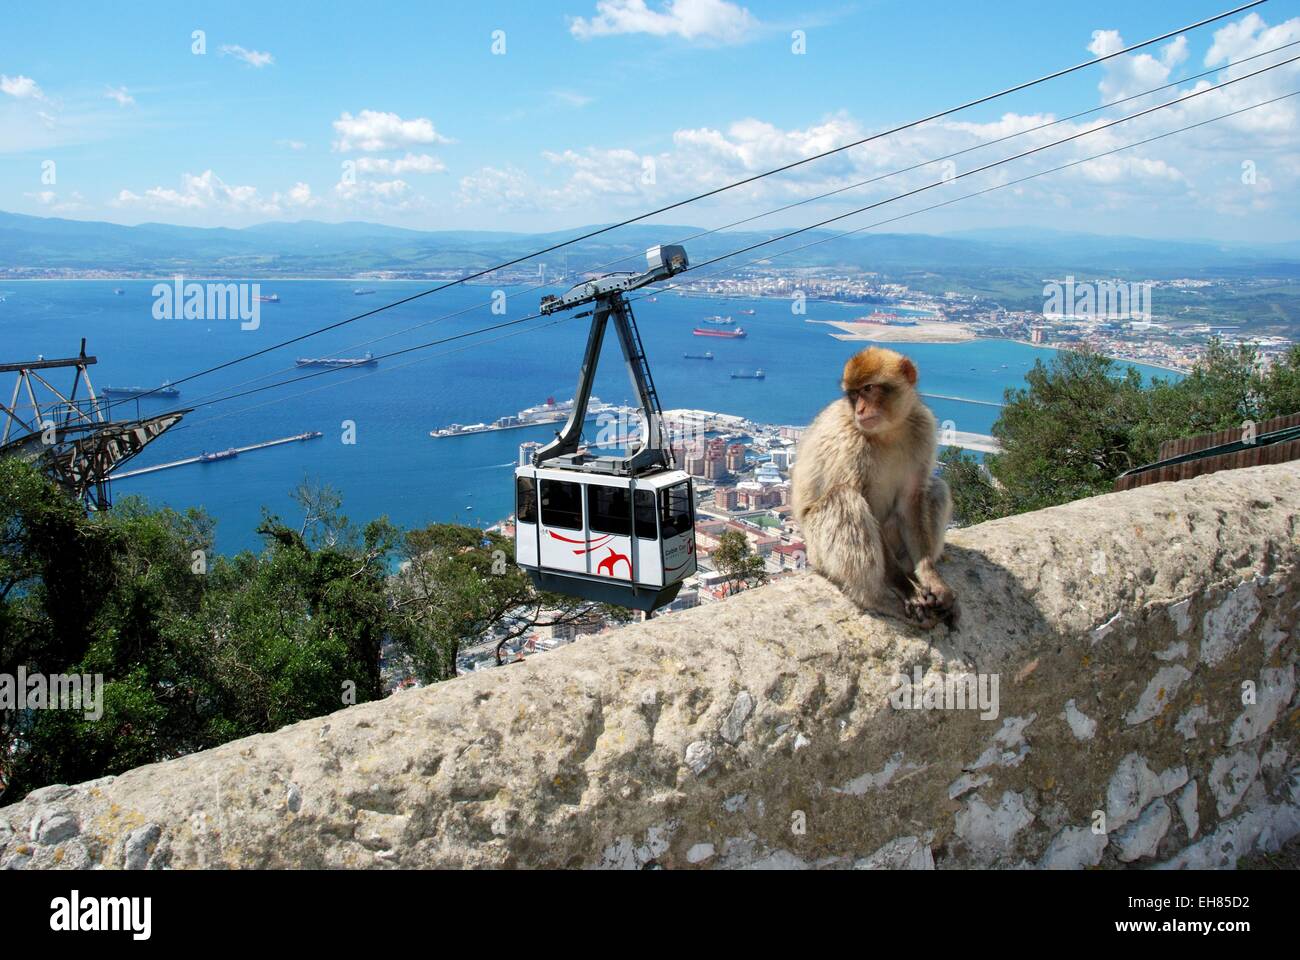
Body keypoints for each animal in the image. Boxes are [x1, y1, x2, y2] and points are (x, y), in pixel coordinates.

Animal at [791, 347, 957, 629]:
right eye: (853, 394)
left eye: (868, 389)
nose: (859, 409)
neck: (888, 432)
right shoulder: (850, 443)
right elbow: (863, 499)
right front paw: (904, 587)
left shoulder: (923, 429)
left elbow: (912, 499)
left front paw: (930, 577)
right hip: (818, 551)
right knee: (844, 498)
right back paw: (877, 598)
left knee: (935, 488)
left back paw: (914, 571)